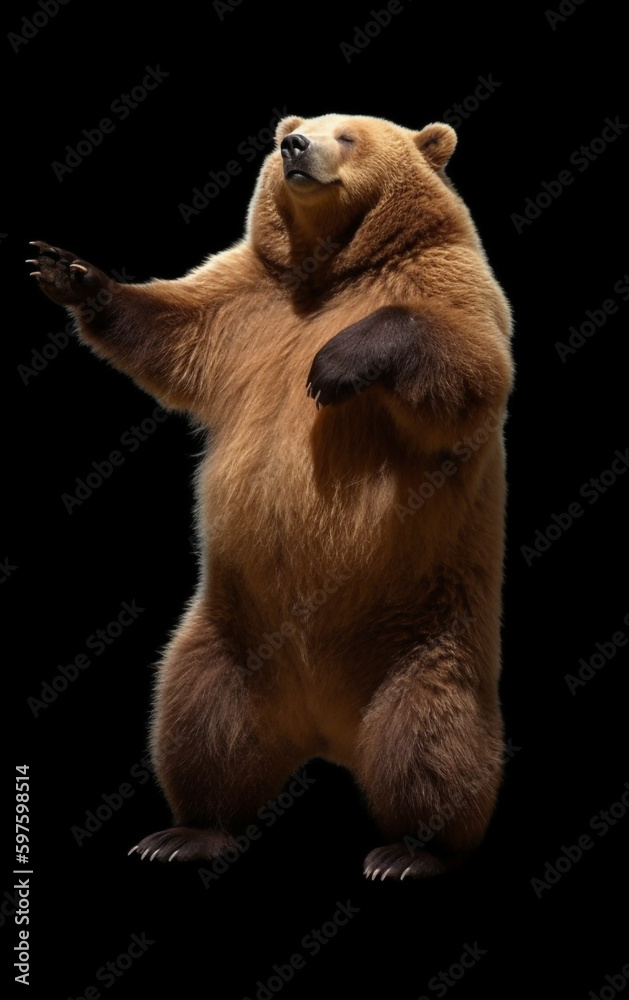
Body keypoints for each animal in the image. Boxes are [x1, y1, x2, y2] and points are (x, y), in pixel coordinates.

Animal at [28, 112, 514, 879]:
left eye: (348, 134)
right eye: (299, 126)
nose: (295, 146)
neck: (331, 264)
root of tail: (325, 729)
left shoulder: (444, 280)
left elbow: (466, 366)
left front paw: (334, 365)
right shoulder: (248, 302)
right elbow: (172, 330)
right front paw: (68, 271)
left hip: (428, 633)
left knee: (431, 735)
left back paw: (412, 852)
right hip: (230, 636)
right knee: (197, 720)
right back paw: (185, 832)